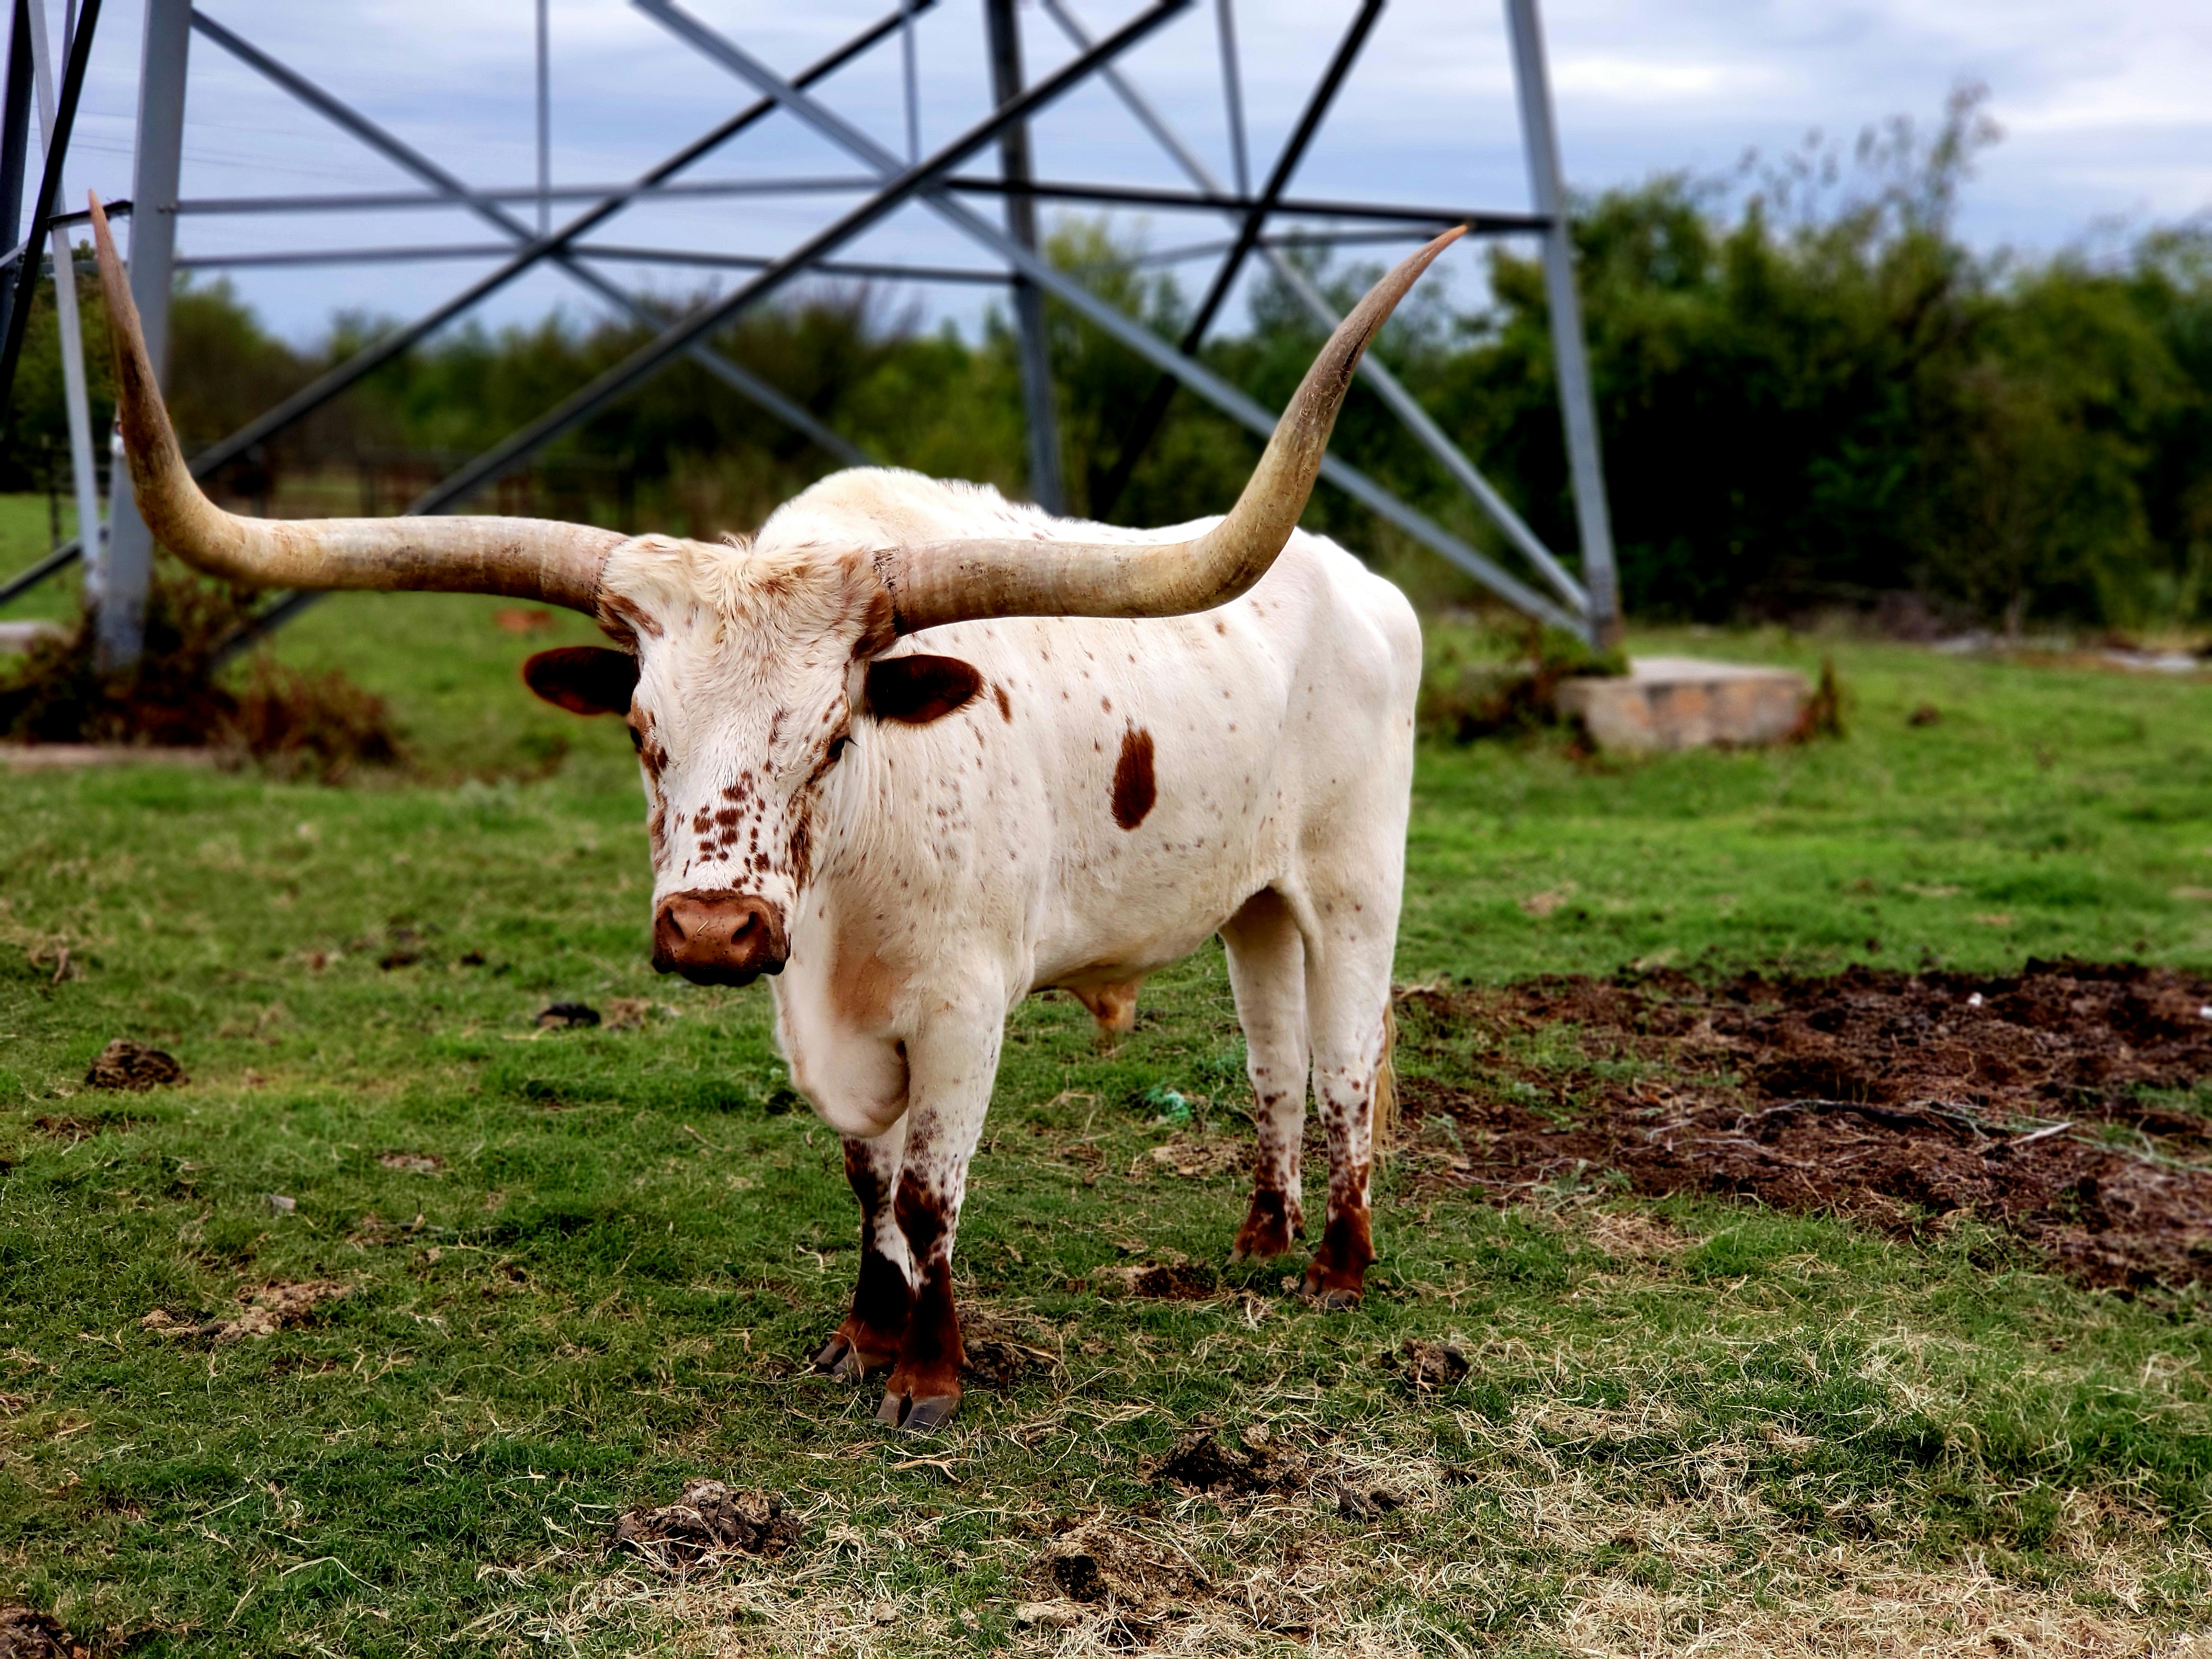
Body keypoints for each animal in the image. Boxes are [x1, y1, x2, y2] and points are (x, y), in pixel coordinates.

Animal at [92, 197, 1456, 1431]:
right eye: (642, 734)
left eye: (836, 737)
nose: (712, 932)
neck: (854, 889)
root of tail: (1363, 585)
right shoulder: (817, 1011)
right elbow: (868, 1182)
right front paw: (863, 1335)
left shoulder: (963, 1010)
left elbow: (929, 1195)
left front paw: (929, 1378)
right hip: (1253, 902)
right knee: (1273, 1058)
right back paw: (1263, 1236)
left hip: (1354, 888)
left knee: (1344, 1061)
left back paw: (1339, 1267)